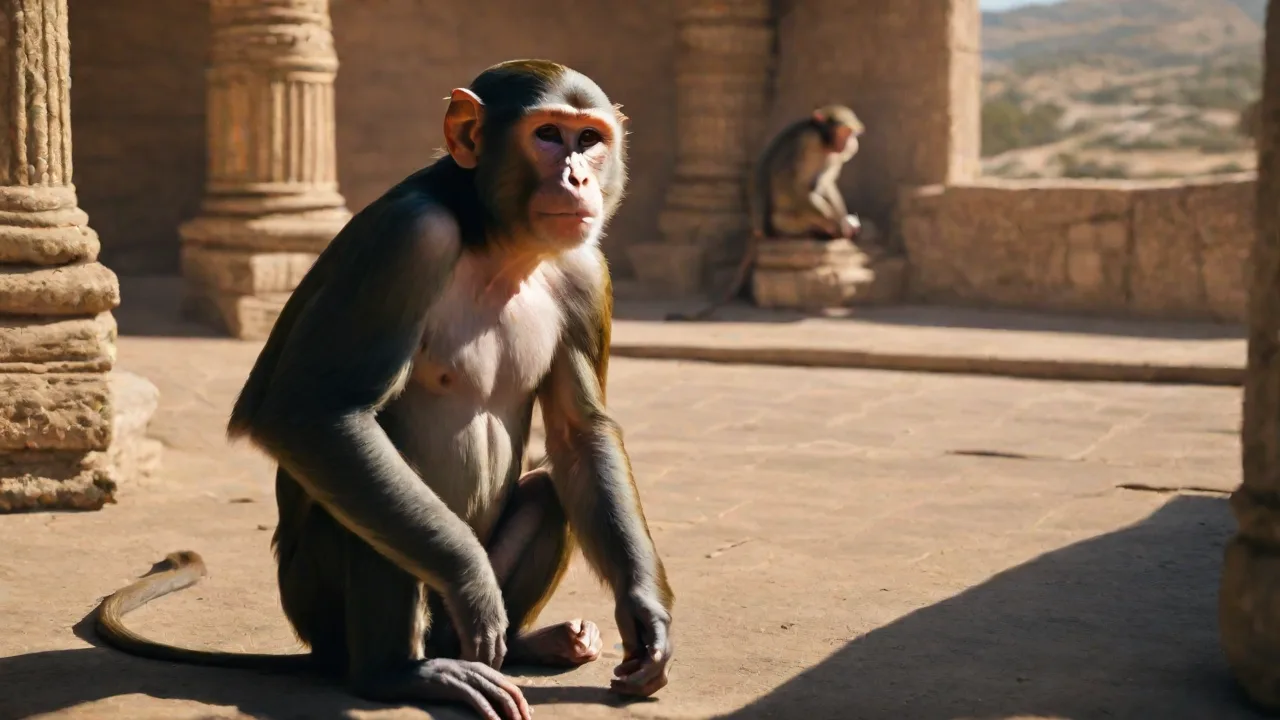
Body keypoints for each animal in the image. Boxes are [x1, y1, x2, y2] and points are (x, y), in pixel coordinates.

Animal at [93, 59, 674, 720]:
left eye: (590, 139)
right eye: (548, 135)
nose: (578, 176)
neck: (495, 240)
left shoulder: (584, 270)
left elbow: (580, 434)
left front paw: (646, 617)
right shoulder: (408, 240)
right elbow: (314, 415)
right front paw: (472, 581)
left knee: (551, 491)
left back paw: (527, 642)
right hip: (315, 603)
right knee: (368, 480)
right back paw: (398, 674)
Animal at [665, 104, 865, 322]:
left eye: (851, 134)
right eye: (845, 132)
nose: (852, 143)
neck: (823, 142)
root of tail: (760, 229)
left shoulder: (833, 155)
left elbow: (827, 182)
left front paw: (843, 222)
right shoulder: (807, 142)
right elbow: (795, 186)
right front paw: (838, 225)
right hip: (785, 221)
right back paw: (815, 232)